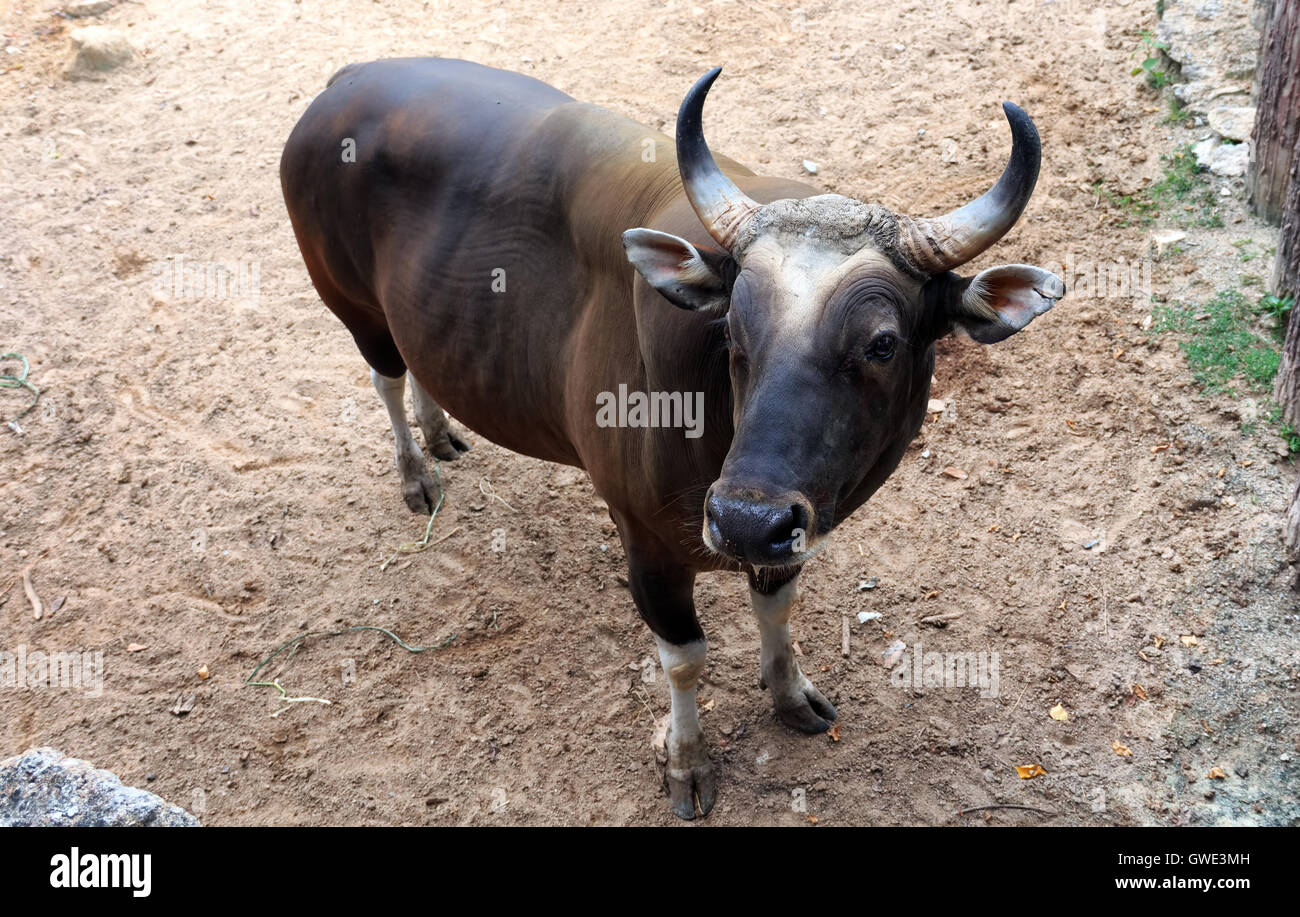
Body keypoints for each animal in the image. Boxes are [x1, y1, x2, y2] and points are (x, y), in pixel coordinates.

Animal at [280, 58, 1064, 819]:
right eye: (733, 330)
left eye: (882, 343)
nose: (744, 518)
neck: (718, 430)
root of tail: (348, 81)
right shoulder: (645, 539)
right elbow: (684, 655)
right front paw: (687, 760)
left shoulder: (786, 532)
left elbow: (776, 608)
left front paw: (790, 693)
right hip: (350, 303)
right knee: (384, 375)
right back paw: (416, 472)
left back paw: (440, 431)